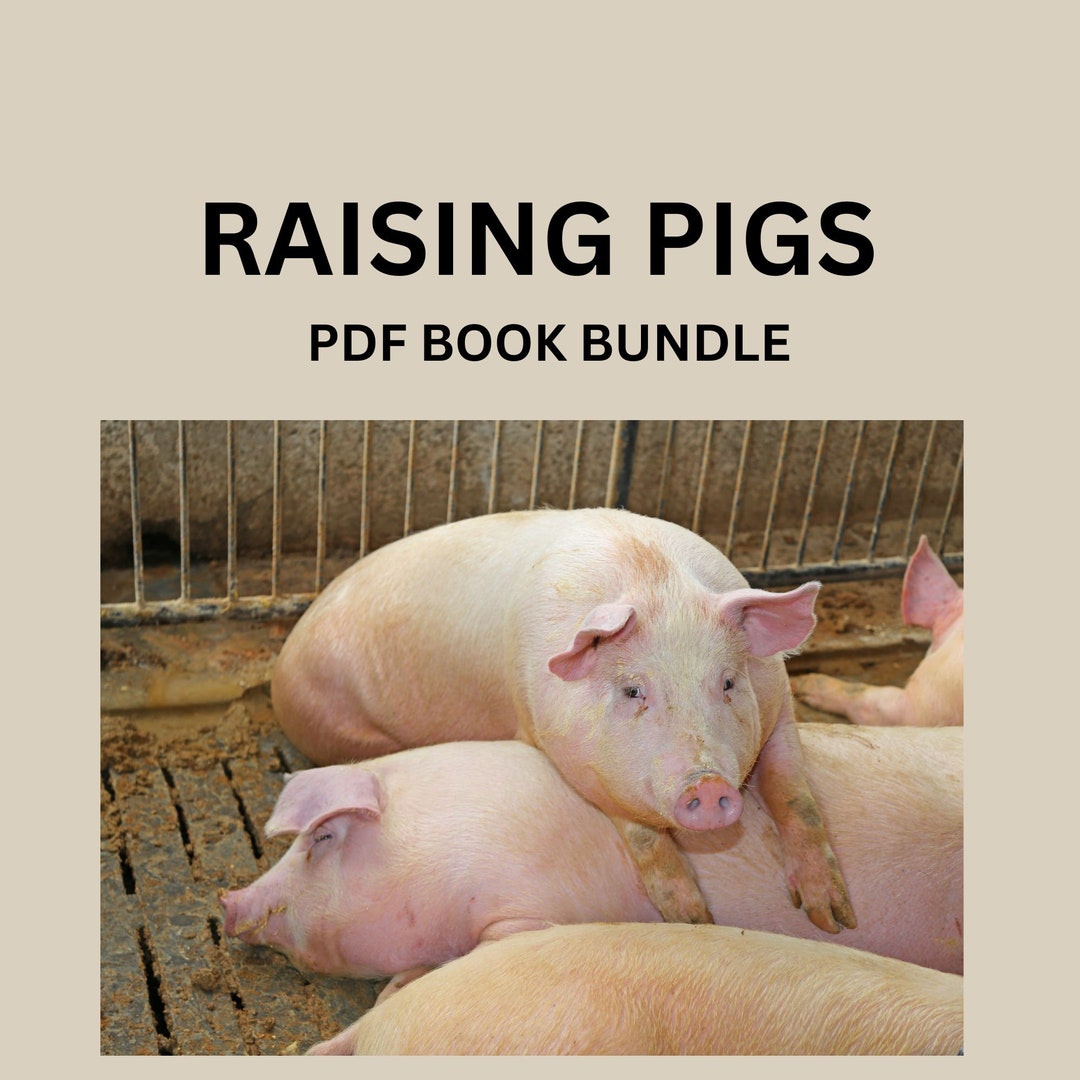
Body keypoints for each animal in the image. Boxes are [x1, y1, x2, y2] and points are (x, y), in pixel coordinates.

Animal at [271, 507, 852, 932]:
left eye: (728, 682)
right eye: (633, 690)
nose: (707, 786)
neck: (653, 578)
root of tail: (284, 663)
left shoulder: (778, 705)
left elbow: (795, 796)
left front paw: (833, 917)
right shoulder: (558, 744)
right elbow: (641, 834)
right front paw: (694, 921)